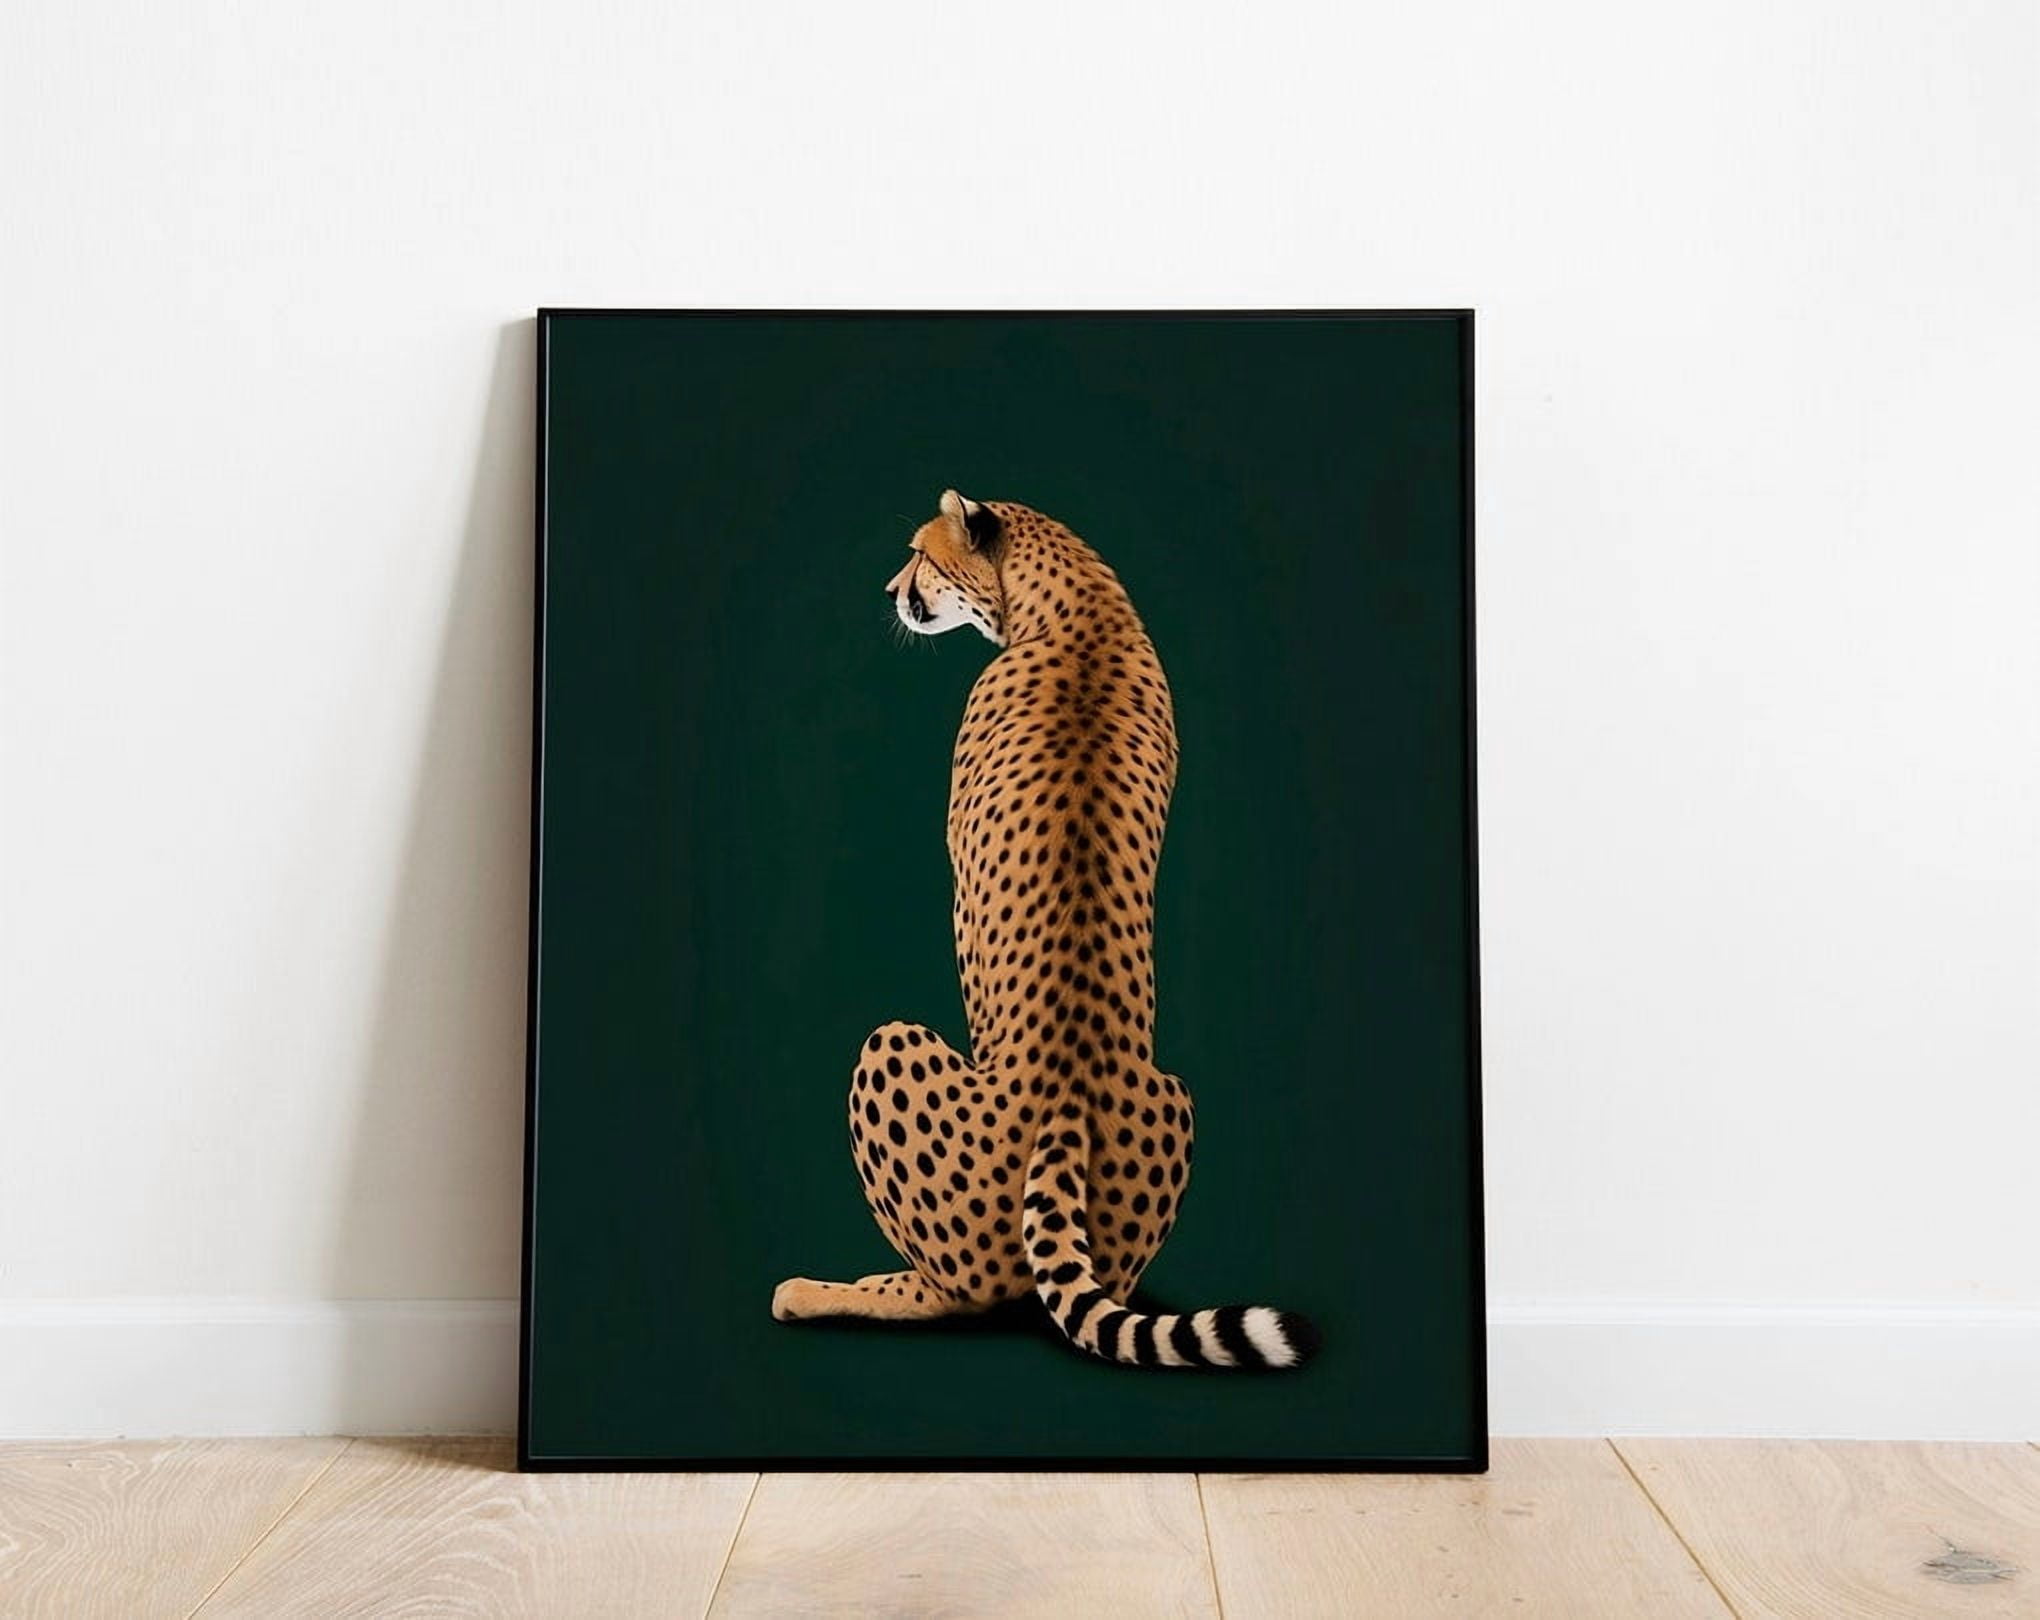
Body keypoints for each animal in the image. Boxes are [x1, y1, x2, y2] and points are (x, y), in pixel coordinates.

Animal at [772, 490, 1319, 1370]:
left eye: (919, 555)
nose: (890, 591)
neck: (1073, 600)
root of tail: (1064, 1106)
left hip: (888, 1045)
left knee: (957, 1294)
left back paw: (822, 1289)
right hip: (1179, 1096)